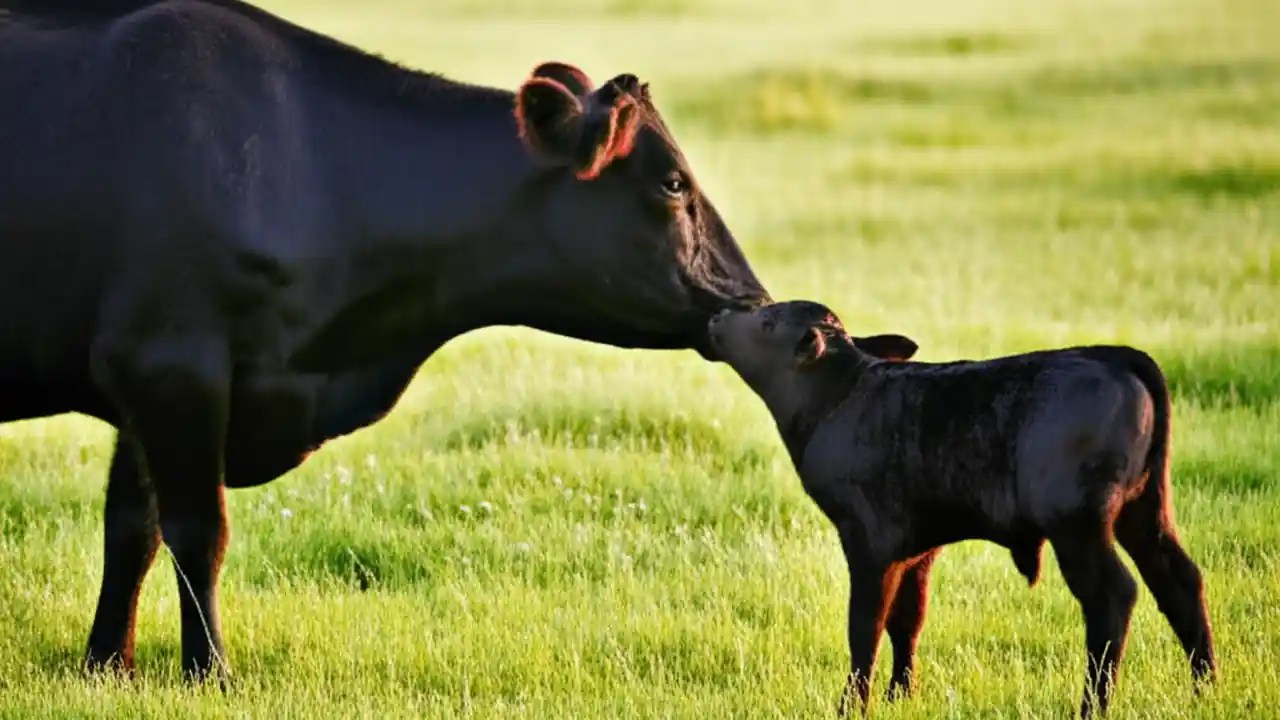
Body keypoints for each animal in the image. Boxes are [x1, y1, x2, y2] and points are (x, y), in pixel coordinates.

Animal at [0, 0, 770, 680]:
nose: (753, 300)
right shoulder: (170, 364)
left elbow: (133, 529)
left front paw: (107, 665)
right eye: (673, 183)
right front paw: (209, 673)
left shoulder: (154, 386)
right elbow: (197, 531)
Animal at [708, 301, 1216, 717]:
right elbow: (907, 618)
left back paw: (1092, 707)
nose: (717, 317)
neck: (838, 398)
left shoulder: (868, 540)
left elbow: (865, 626)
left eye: (768, 322)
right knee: (1179, 580)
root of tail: (1110, 355)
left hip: (1078, 523)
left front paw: (852, 706)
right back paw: (1205, 689)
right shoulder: (916, 548)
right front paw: (900, 696)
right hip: (1144, 509)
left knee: (1114, 595)